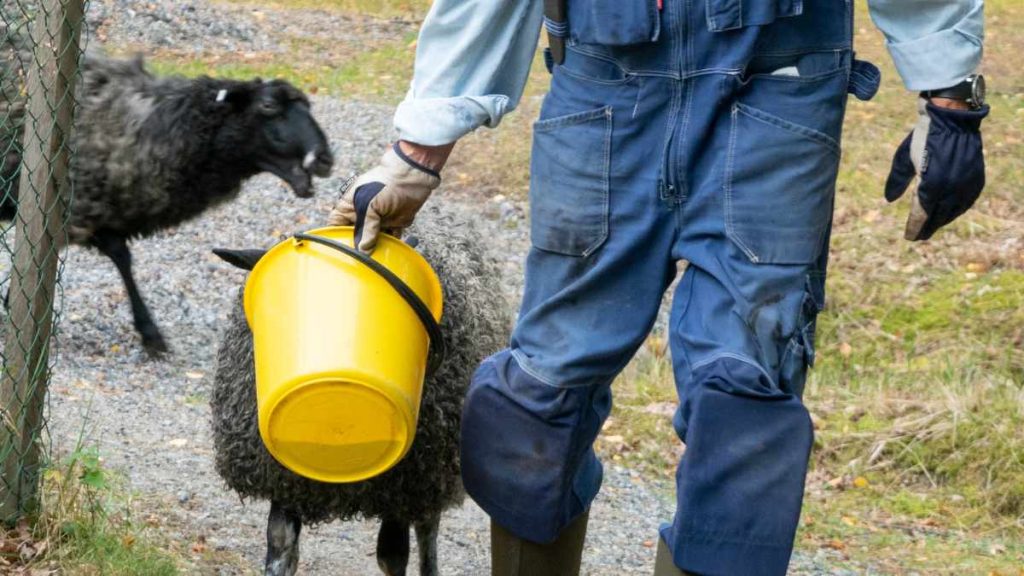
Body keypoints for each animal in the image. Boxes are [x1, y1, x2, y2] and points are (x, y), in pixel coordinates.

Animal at [1, 42, 334, 353]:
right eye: (268, 106)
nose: (325, 159)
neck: (152, 127)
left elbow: (120, 256)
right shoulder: (80, 205)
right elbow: (118, 256)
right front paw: (150, 333)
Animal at [211, 202, 511, 576]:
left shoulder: (401, 490)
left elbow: (392, 556)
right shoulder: (288, 483)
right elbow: (280, 550)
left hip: (431, 476)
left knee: (427, 530)